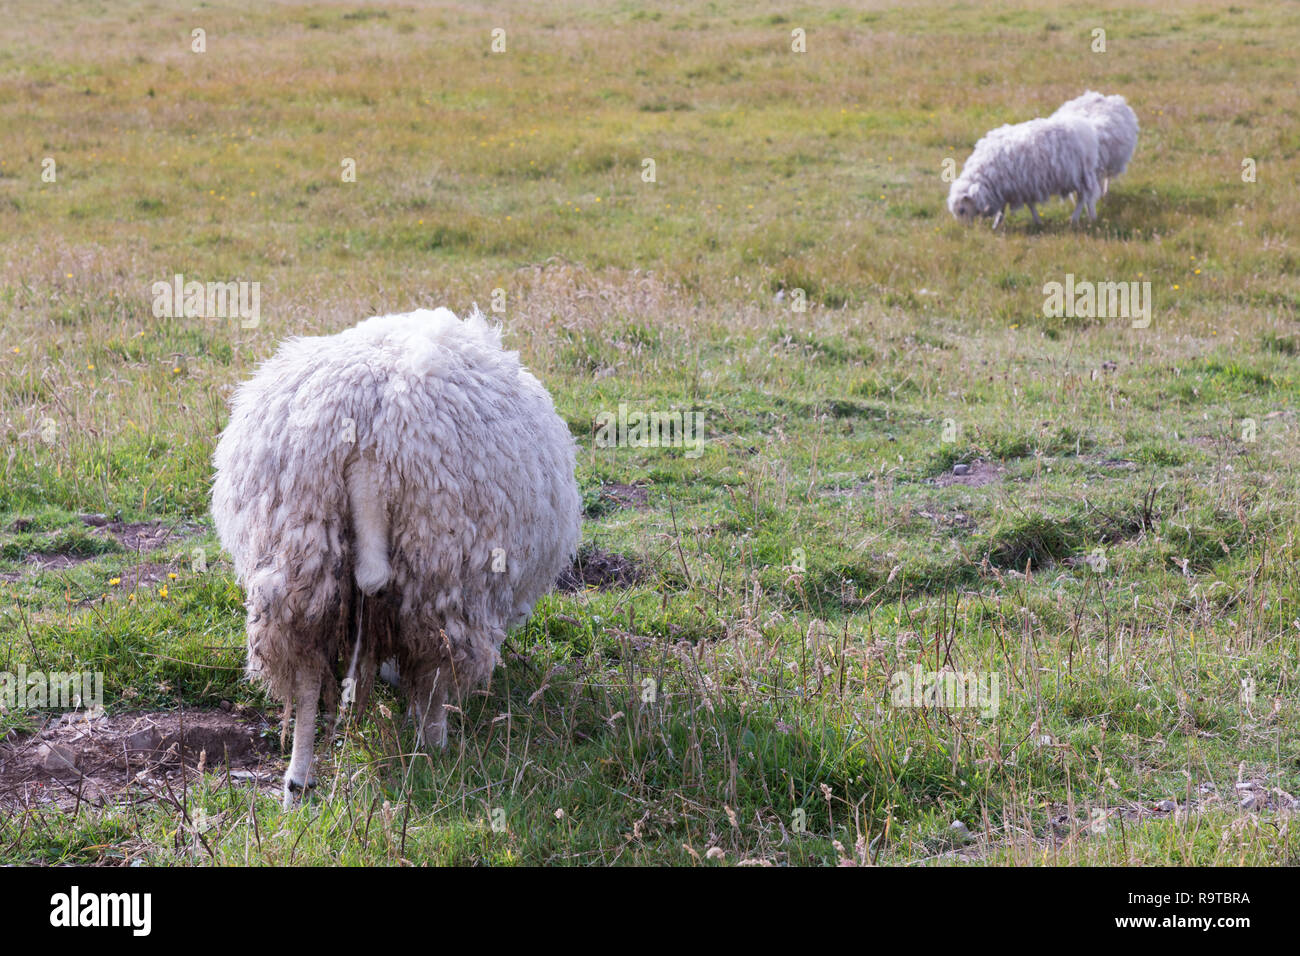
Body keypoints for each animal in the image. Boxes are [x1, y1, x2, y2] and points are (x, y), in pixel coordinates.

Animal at [211, 307, 581, 806]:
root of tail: (370, 444)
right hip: (441, 563)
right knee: (438, 663)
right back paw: (436, 749)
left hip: (301, 555)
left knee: (306, 675)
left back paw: (298, 783)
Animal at [947, 114, 1102, 228]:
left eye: (962, 210)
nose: (965, 229)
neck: (985, 177)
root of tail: (1085, 130)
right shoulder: (1013, 188)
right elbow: (1019, 206)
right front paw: (997, 224)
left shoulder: (1017, 186)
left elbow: (1025, 205)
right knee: (1087, 197)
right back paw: (1090, 217)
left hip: (1079, 175)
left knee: (1084, 197)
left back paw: (1080, 218)